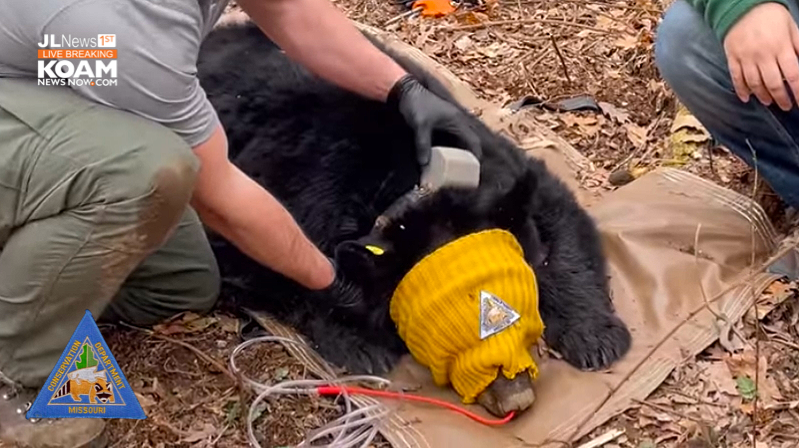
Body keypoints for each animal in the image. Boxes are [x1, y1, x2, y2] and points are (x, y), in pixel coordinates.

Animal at [196, 21, 631, 415]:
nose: (516, 397)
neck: (414, 193)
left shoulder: (493, 160)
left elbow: (554, 211)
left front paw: (596, 337)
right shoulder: (293, 194)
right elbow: (269, 266)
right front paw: (359, 341)